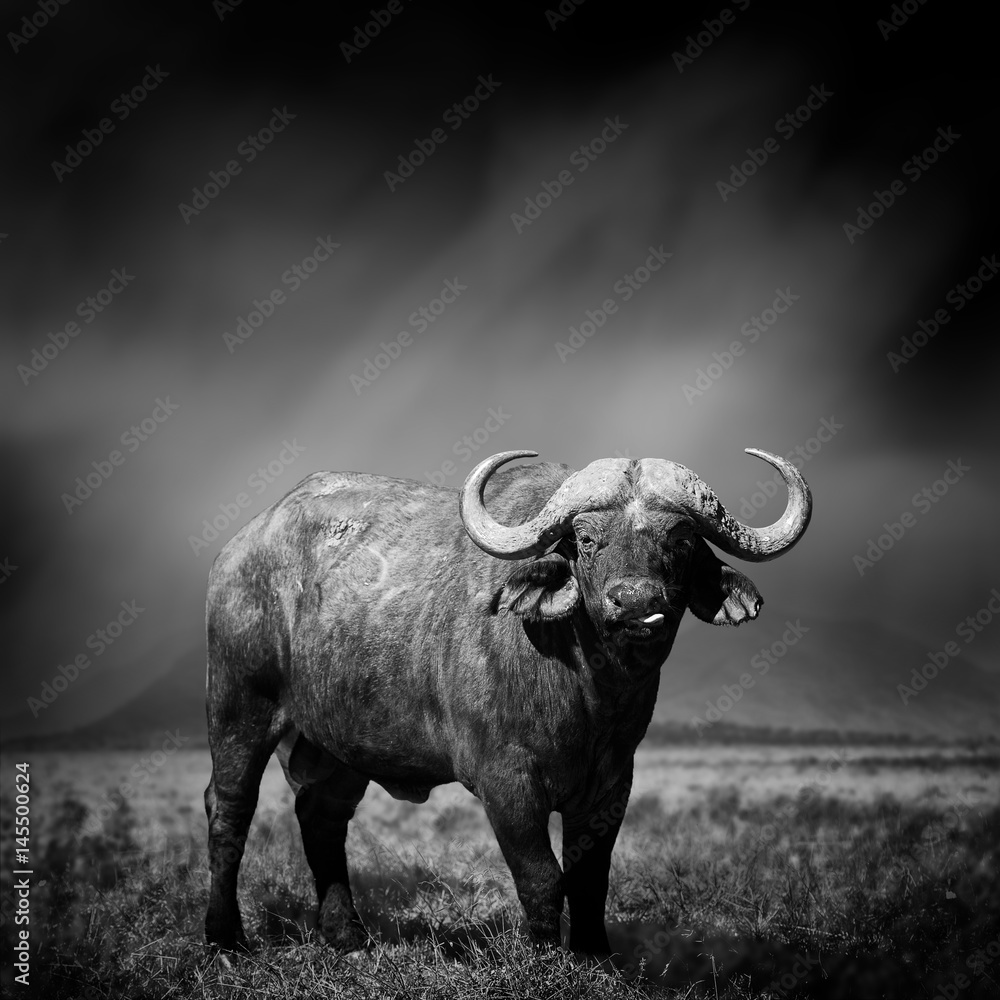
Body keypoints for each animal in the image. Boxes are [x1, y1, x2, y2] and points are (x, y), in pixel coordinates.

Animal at [204, 448, 811, 955]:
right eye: (586, 540)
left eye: (680, 541)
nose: (637, 602)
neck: (588, 694)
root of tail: (239, 550)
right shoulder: (506, 782)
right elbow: (542, 878)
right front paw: (545, 958)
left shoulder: (612, 784)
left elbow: (590, 879)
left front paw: (594, 956)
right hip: (239, 708)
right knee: (228, 810)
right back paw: (225, 939)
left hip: (338, 745)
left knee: (321, 816)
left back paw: (347, 937)